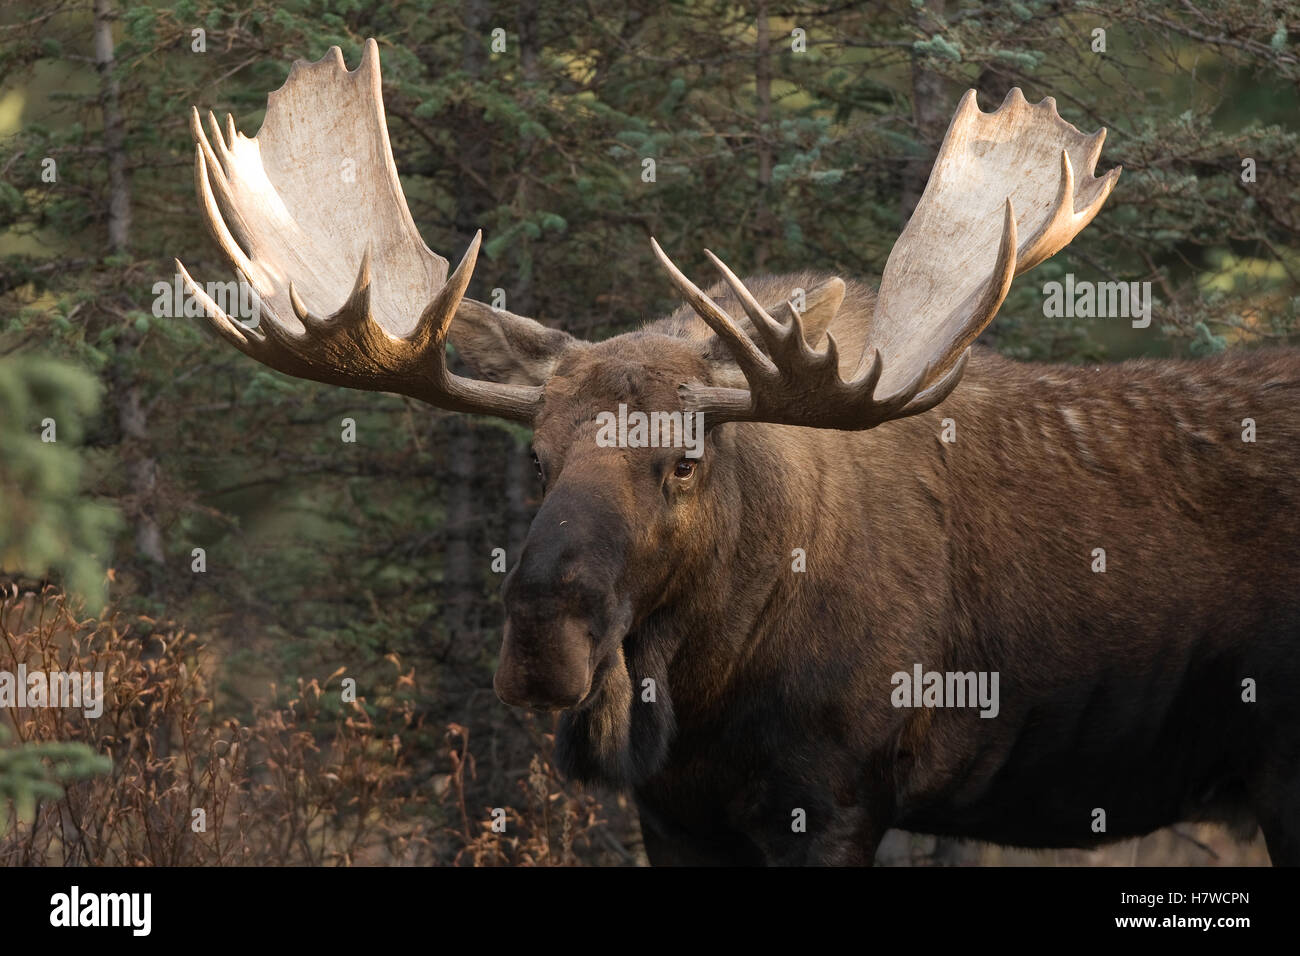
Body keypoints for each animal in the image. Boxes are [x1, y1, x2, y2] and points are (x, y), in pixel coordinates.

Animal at [180, 40, 1300, 865]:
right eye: (535, 456)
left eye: (685, 458)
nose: (543, 636)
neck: (706, 685)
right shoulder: (673, 813)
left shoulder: (836, 797)